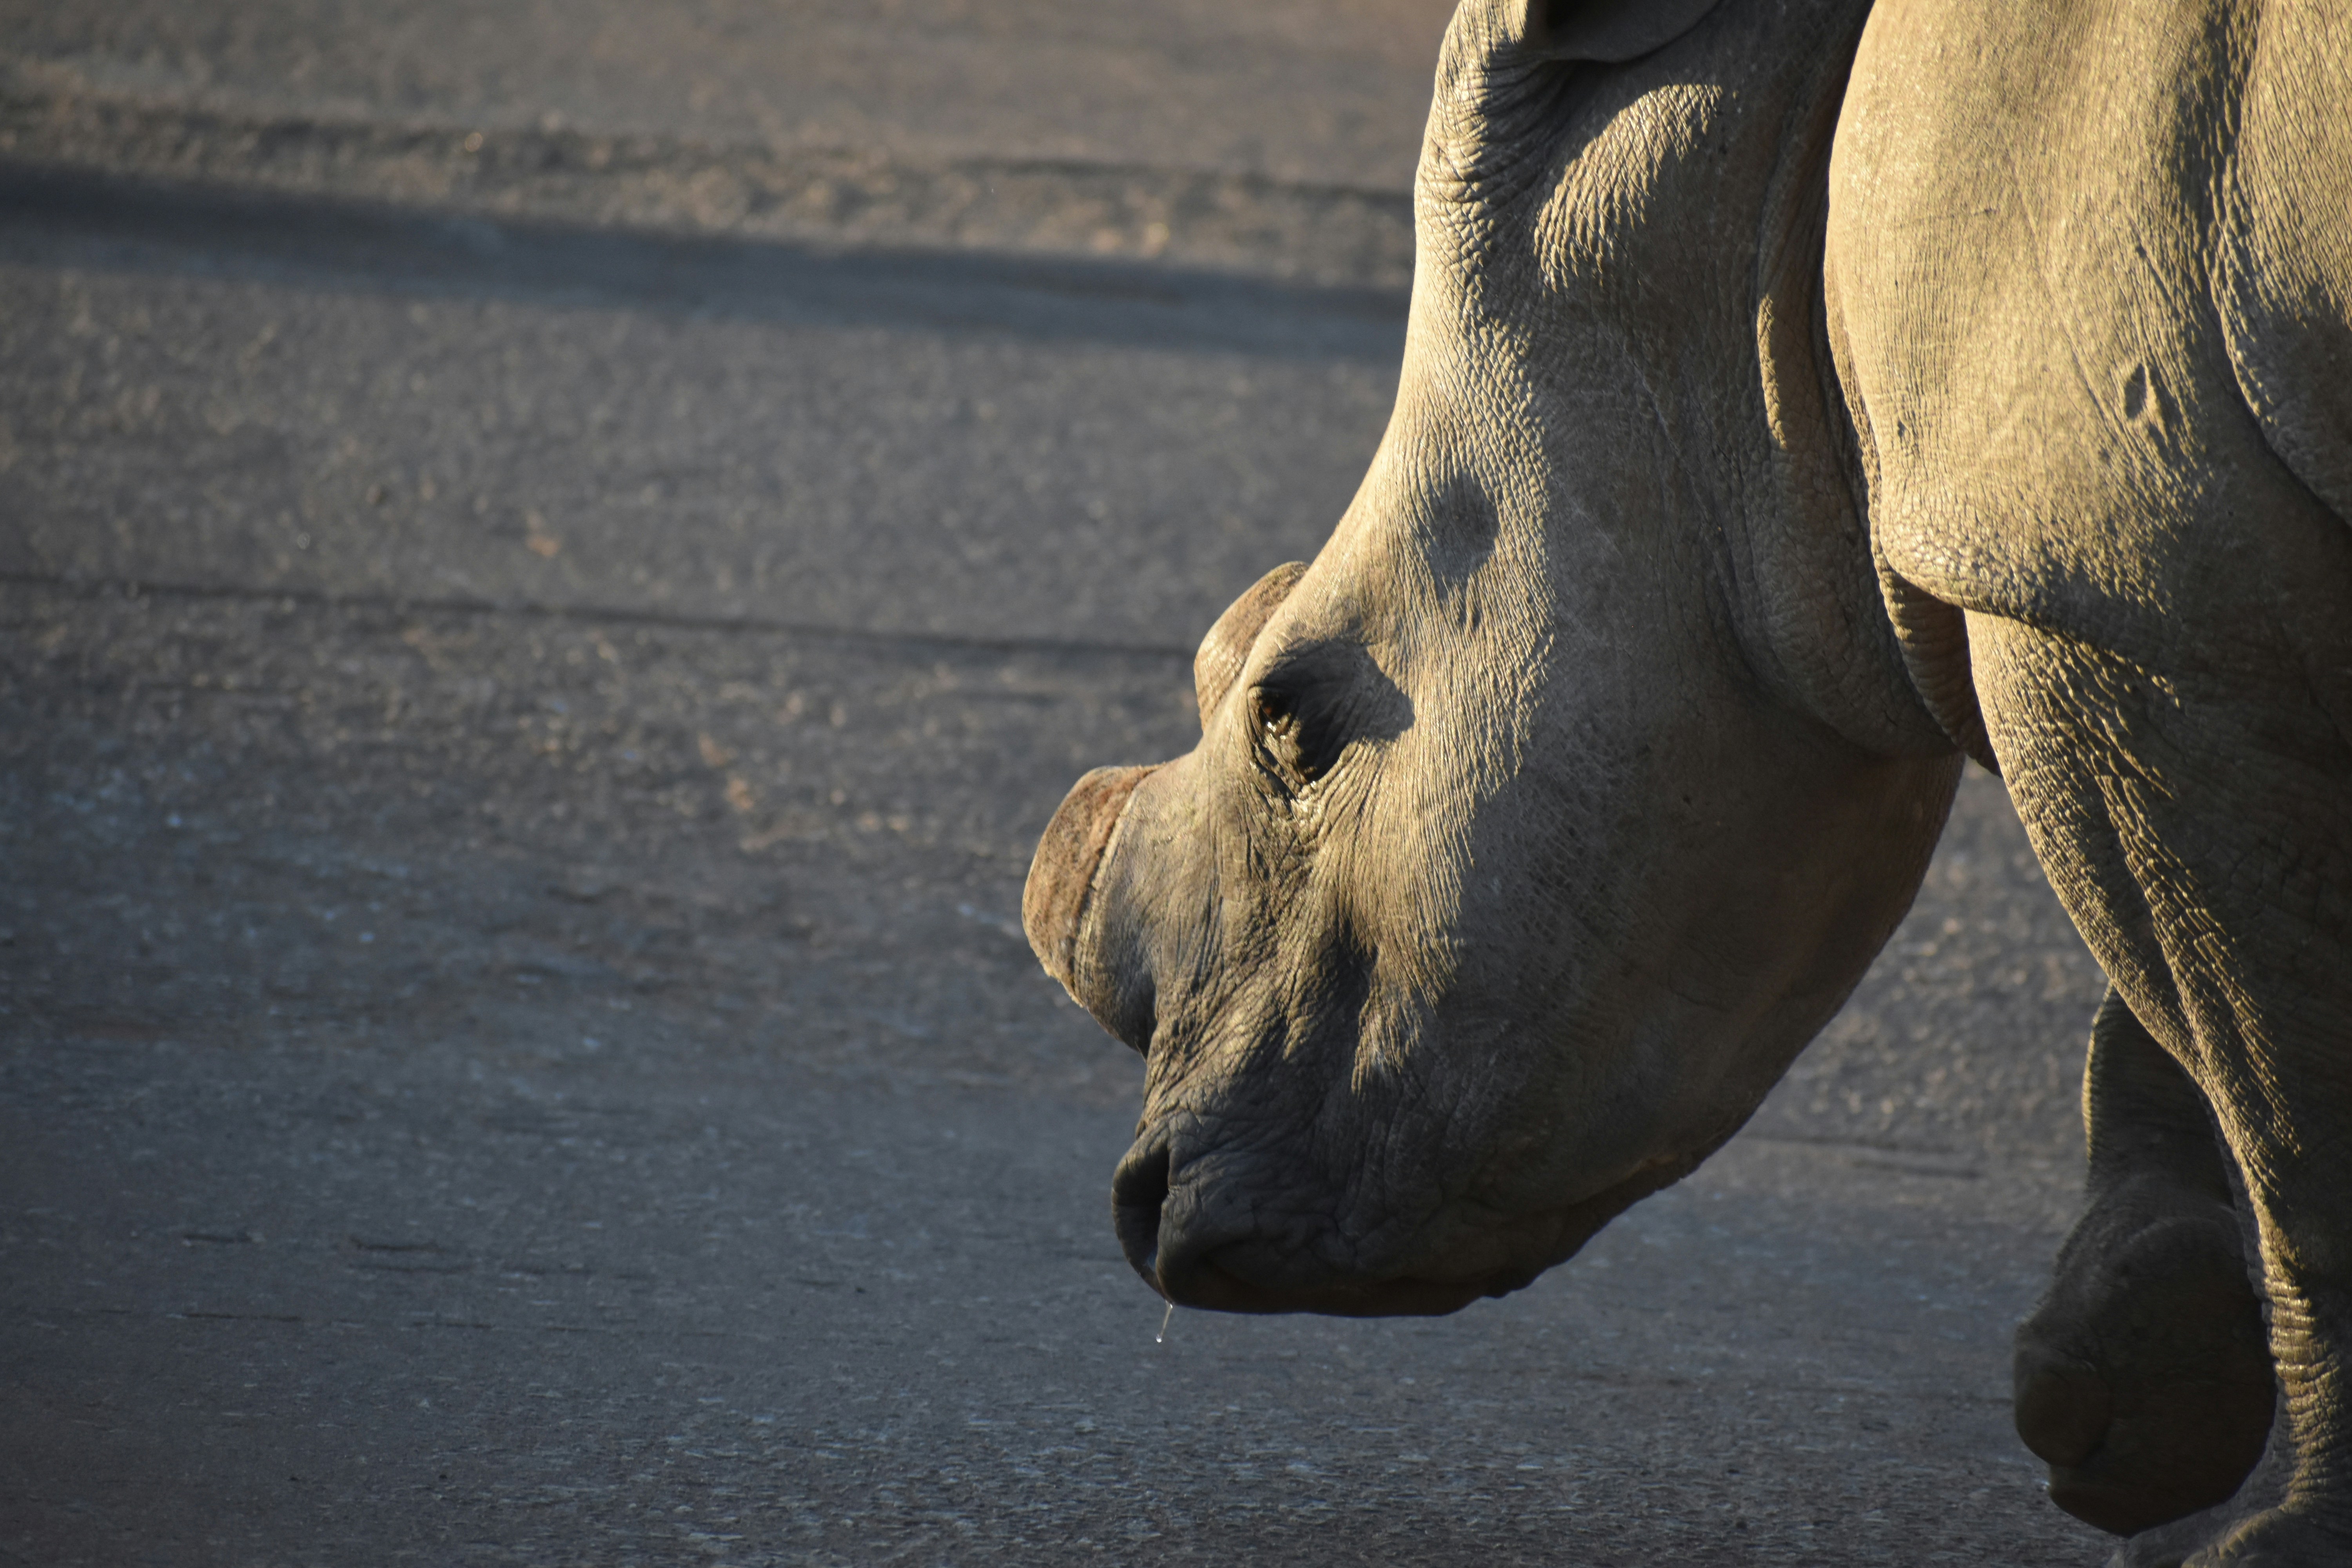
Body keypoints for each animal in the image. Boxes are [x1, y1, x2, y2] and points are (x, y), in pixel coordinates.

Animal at [1022, 0, 2351, 1559]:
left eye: (1295, 722)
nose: (1146, 1208)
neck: (1756, 177)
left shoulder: (2127, 583)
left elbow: (2293, 1105)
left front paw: (2279, 1532)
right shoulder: (2138, 567)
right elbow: (2215, 1017)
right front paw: (2131, 1401)